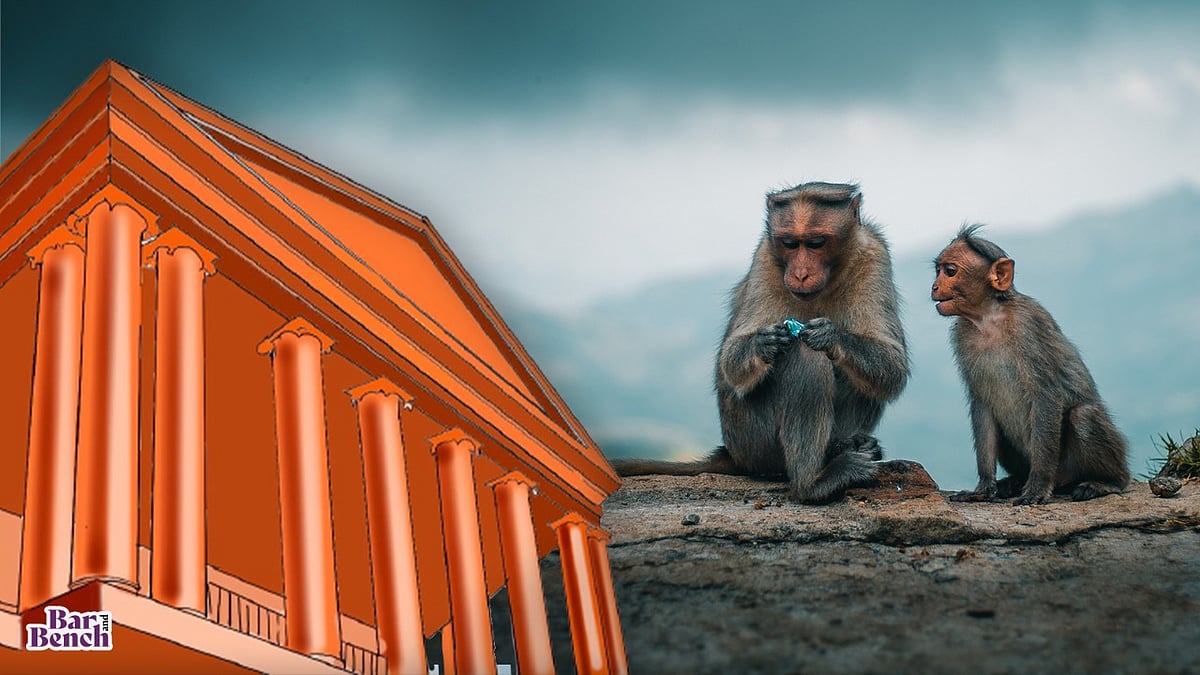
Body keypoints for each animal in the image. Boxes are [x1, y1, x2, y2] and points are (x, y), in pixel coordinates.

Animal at [612, 182, 909, 503]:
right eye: (790, 244)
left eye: (816, 243)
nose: (800, 273)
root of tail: (732, 452)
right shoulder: (765, 256)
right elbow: (731, 362)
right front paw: (763, 343)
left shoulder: (874, 255)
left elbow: (892, 365)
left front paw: (830, 336)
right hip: (753, 440)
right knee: (806, 356)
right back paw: (813, 483)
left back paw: (844, 447)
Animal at [932, 224, 1130, 505]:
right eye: (938, 270)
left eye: (950, 271)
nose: (934, 286)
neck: (989, 318)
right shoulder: (962, 336)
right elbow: (981, 402)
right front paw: (984, 486)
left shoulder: (1030, 326)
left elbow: (1047, 393)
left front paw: (1037, 486)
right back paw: (1014, 481)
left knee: (1084, 415)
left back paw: (1106, 481)